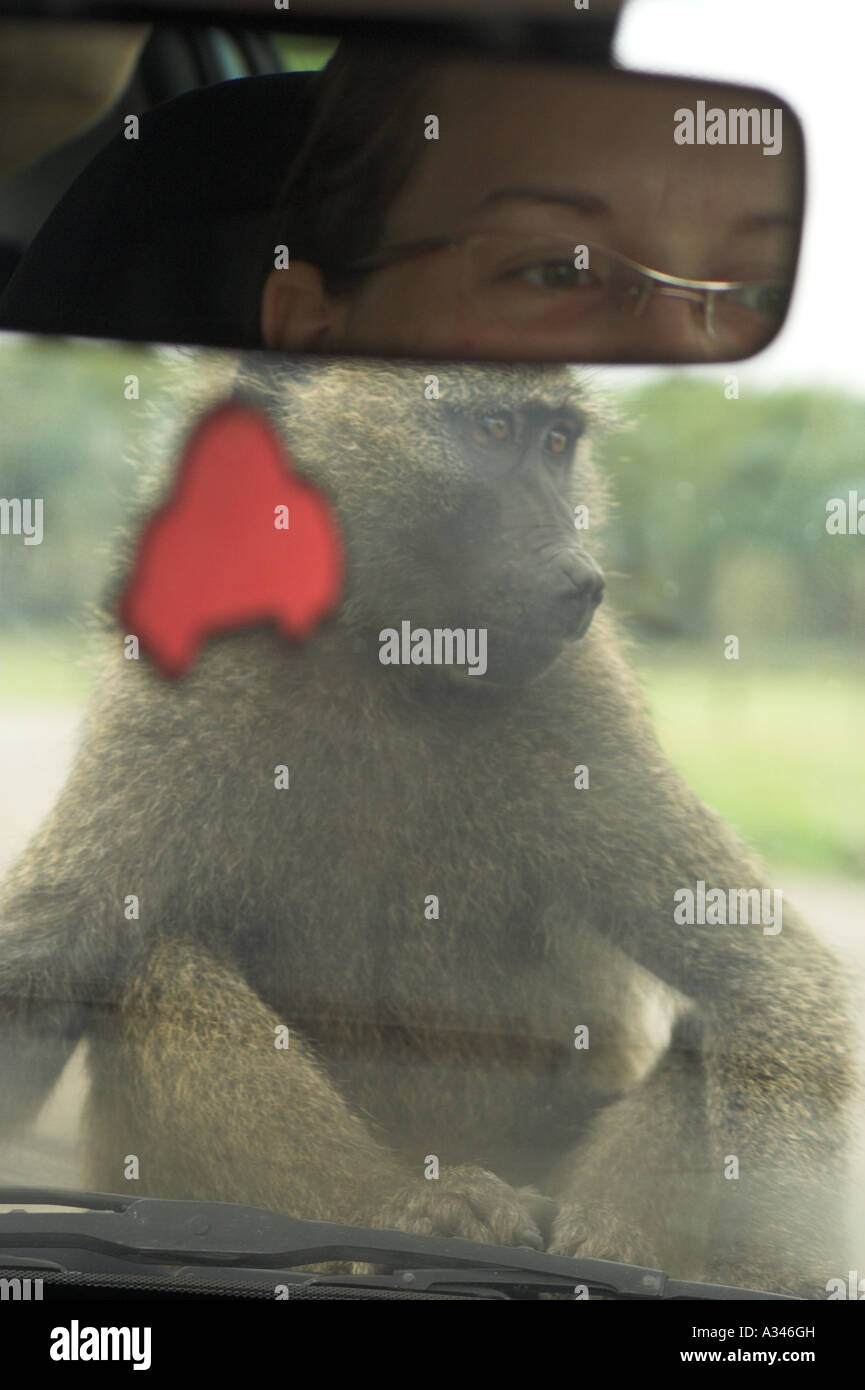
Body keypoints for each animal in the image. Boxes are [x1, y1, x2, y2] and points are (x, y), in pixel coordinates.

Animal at [0, 354, 856, 1297]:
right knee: (156, 964)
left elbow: (765, 981)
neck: (380, 656)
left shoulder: (581, 702)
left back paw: (603, 1243)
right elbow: (40, 984)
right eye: (491, 431)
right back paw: (398, 1212)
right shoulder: (172, 689)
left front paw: (764, 1279)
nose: (581, 580)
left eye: (557, 443)